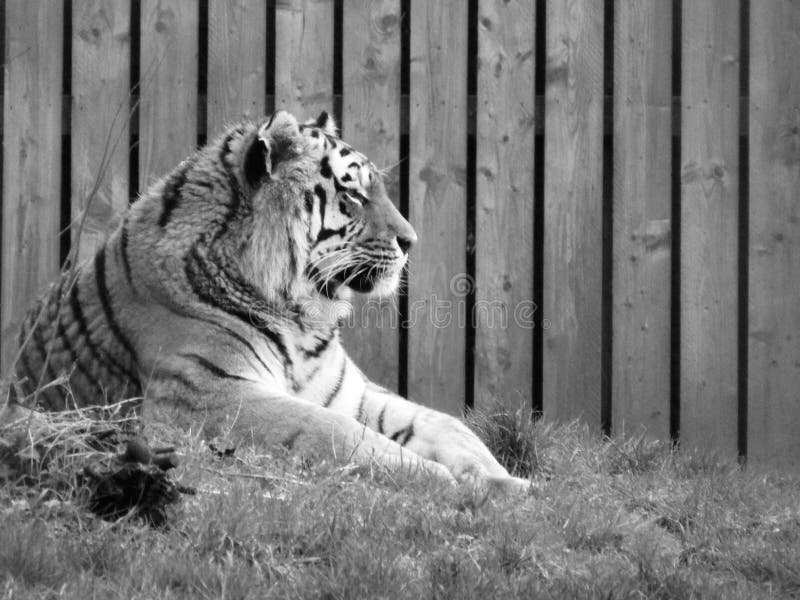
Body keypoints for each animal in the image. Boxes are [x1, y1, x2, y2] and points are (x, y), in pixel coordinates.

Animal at [7, 110, 530, 494]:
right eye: (354, 195)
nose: (411, 241)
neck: (305, 318)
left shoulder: (352, 393)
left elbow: (447, 425)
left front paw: (507, 484)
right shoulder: (207, 396)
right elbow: (332, 432)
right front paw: (446, 481)